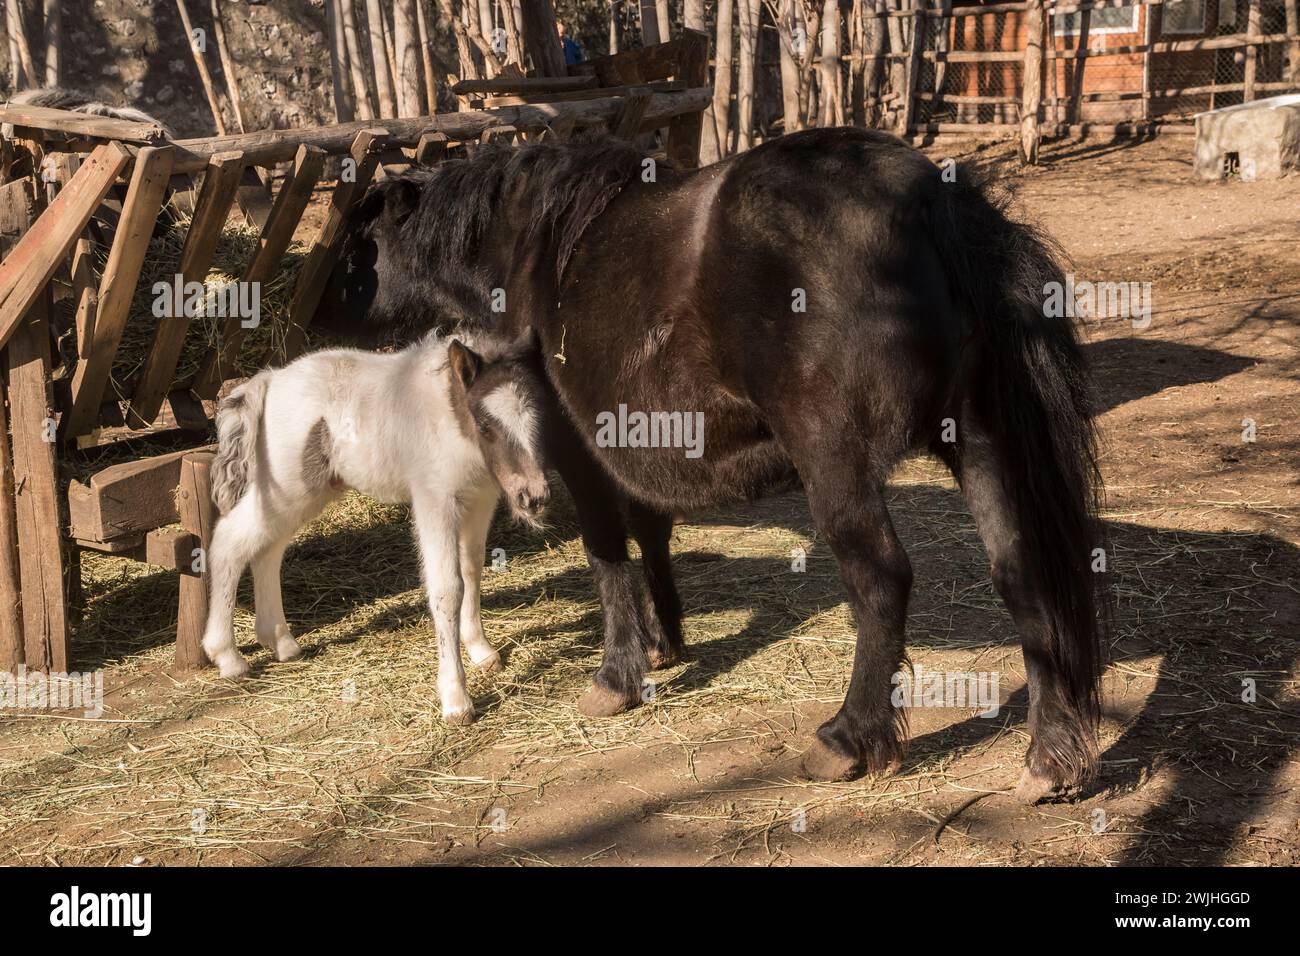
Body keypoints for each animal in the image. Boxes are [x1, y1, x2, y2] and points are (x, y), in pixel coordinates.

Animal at [202, 331, 551, 725]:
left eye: (537, 419)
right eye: (487, 425)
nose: (533, 497)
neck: (447, 413)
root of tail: (270, 380)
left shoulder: (480, 500)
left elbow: (472, 570)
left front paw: (481, 650)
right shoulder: (434, 501)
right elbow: (448, 588)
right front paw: (456, 699)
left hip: (298, 494)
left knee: (267, 551)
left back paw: (280, 642)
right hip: (288, 489)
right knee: (229, 543)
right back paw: (228, 656)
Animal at [321, 127, 1109, 801]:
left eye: (361, 243)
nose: (315, 321)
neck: (530, 250)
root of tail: (928, 199)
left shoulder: (576, 452)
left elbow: (607, 554)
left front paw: (618, 673)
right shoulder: (629, 446)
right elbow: (651, 536)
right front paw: (663, 643)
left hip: (835, 459)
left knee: (882, 579)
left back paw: (849, 737)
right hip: (977, 439)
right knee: (1020, 571)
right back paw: (1050, 755)